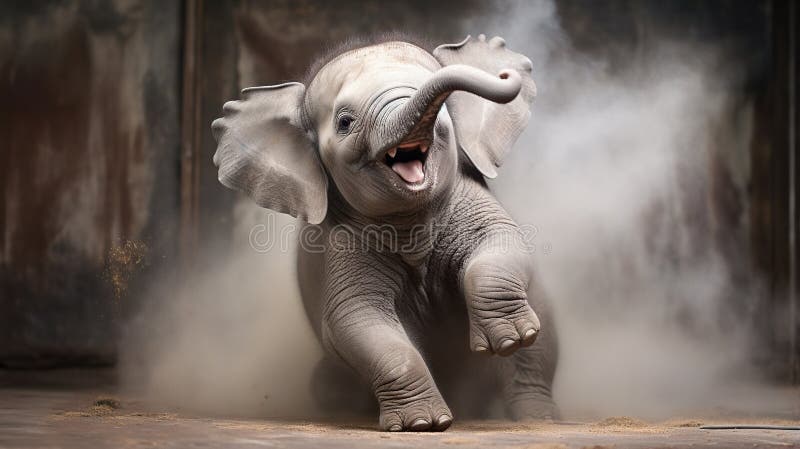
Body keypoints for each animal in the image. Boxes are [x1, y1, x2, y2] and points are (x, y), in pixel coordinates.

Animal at [211, 34, 558, 432]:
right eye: (345, 122)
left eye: (442, 112)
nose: (503, 75)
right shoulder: (342, 240)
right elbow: (355, 317)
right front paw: (421, 425)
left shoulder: (468, 196)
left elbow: (502, 241)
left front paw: (512, 339)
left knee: (536, 350)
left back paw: (537, 414)